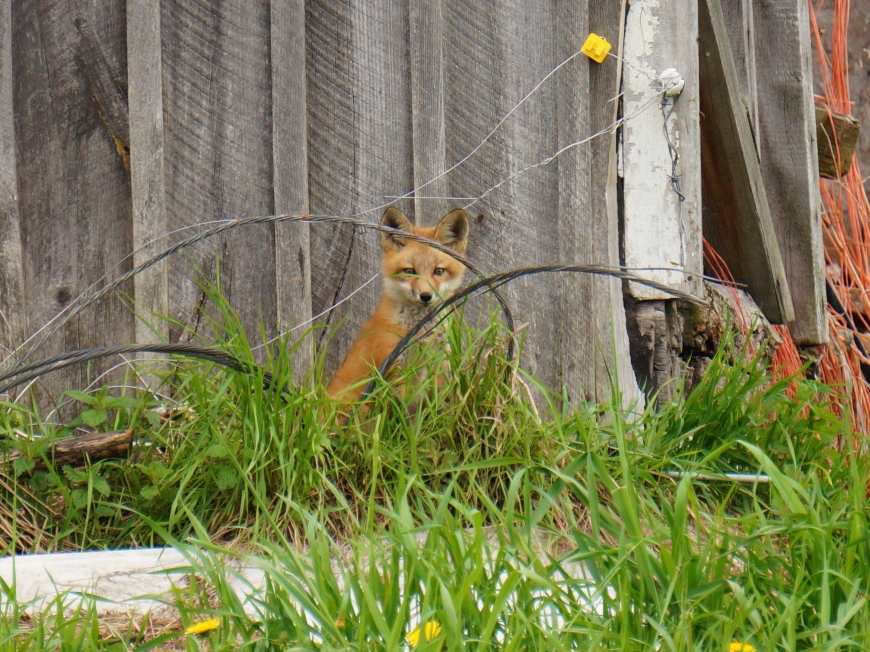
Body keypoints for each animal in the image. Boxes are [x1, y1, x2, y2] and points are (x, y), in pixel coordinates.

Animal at [327, 206, 470, 406]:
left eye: (439, 271)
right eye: (409, 271)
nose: (426, 296)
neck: (421, 333)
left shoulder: (438, 365)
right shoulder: (393, 369)